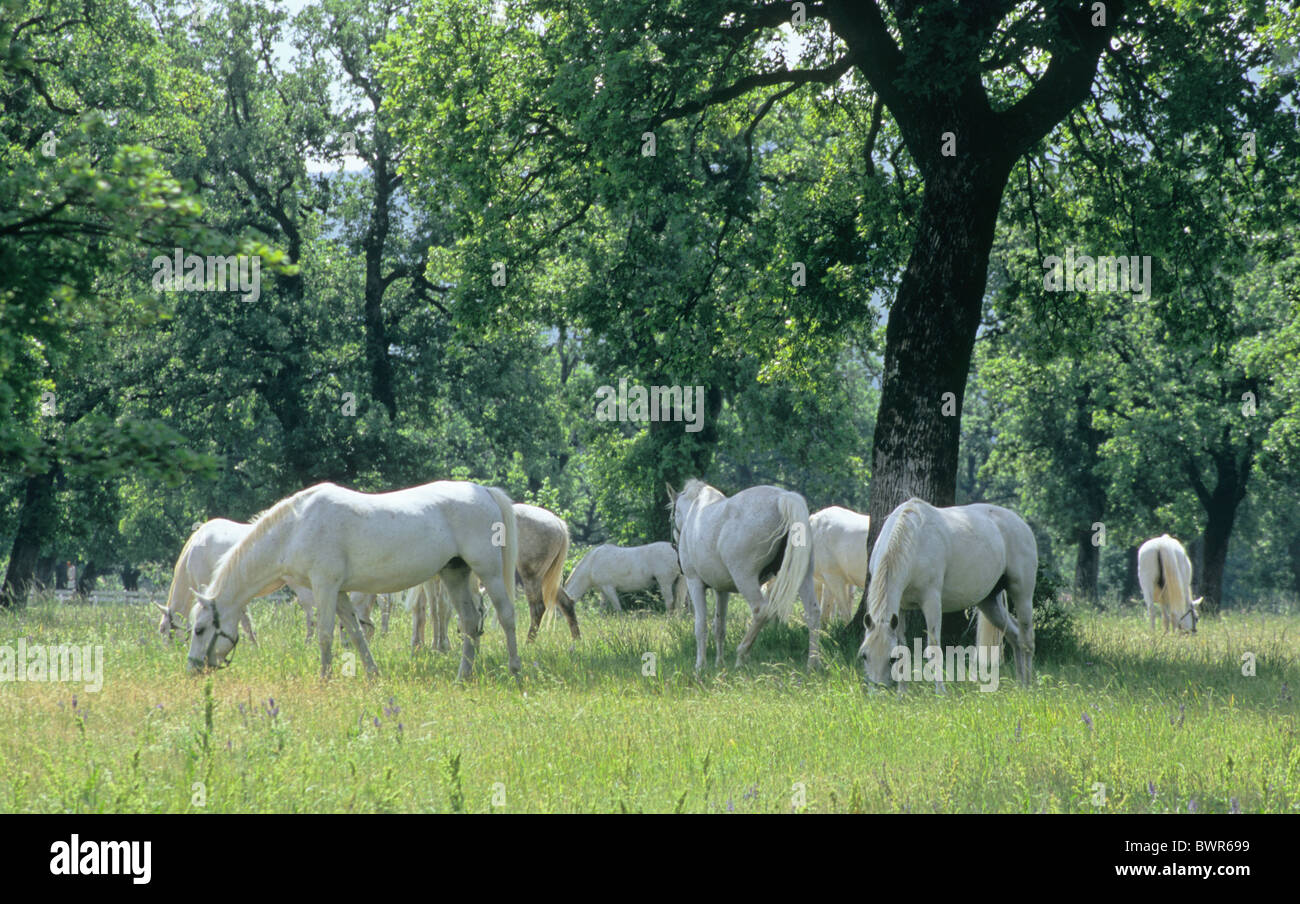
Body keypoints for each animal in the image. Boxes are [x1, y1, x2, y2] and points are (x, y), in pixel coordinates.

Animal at [186, 480, 520, 680]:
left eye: (200, 629)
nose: (193, 668)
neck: (295, 527)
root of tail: (483, 490)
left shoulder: (324, 586)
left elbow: (324, 635)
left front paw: (324, 678)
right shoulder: (340, 592)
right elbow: (357, 634)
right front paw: (373, 675)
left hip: (488, 571)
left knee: (506, 616)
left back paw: (515, 669)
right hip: (455, 573)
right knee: (469, 623)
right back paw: (463, 676)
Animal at [669, 479, 819, 671]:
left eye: (672, 516)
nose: (679, 563)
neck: (695, 512)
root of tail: (784, 497)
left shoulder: (694, 583)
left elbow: (700, 626)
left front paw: (700, 666)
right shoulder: (721, 590)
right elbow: (719, 627)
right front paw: (719, 663)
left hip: (745, 578)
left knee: (761, 610)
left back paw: (741, 655)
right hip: (803, 575)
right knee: (813, 612)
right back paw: (813, 663)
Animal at [858, 498, 1037, 691]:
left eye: (890, 658)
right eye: (864, 655)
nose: (878, 690)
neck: (914, 538)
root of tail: (1022, 524)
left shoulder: (932, 602)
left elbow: (934, 648)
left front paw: (940, 692)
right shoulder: (900, 608)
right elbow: (903, 648)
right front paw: (902, 693)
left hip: (1022, 595)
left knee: (1026, 639)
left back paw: (1028, 688)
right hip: (989, 603)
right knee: (1015, 635)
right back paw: (1020, 685)